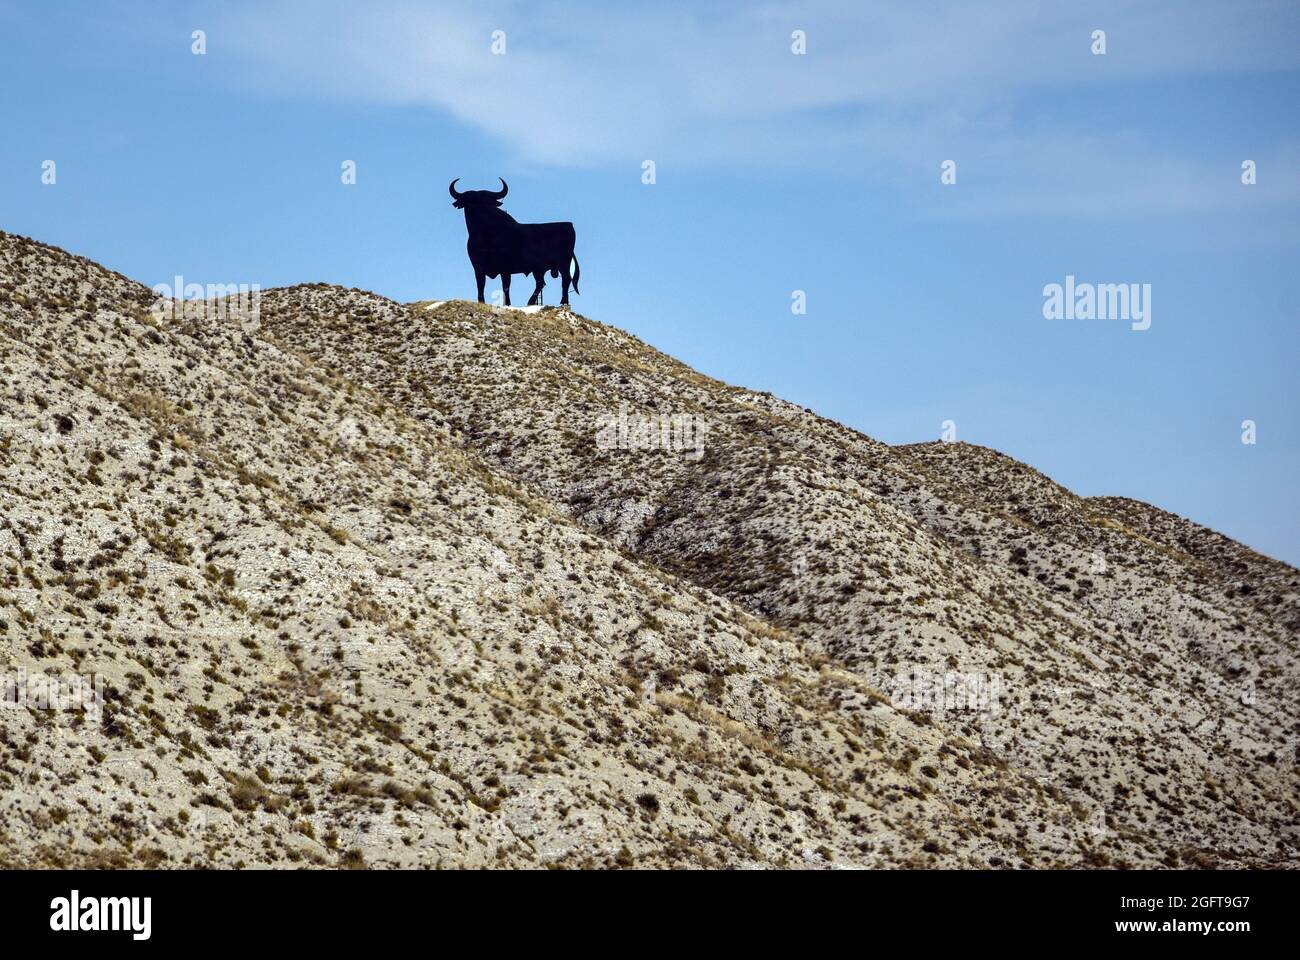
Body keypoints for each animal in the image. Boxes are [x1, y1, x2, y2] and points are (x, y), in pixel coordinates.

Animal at [449, 178, 580, 306]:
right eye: (468, 201)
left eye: (486, 201)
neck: (486, 235)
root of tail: (569, 225)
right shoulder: (478, 268)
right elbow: (480, 286)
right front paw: (482, 302)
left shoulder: (505, 268)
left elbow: (505, 287)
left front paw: (507, 304)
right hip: (539, 269)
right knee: (541, 283)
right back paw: (531, 302)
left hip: (563, 263)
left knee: (565, 280)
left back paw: (563, 302)